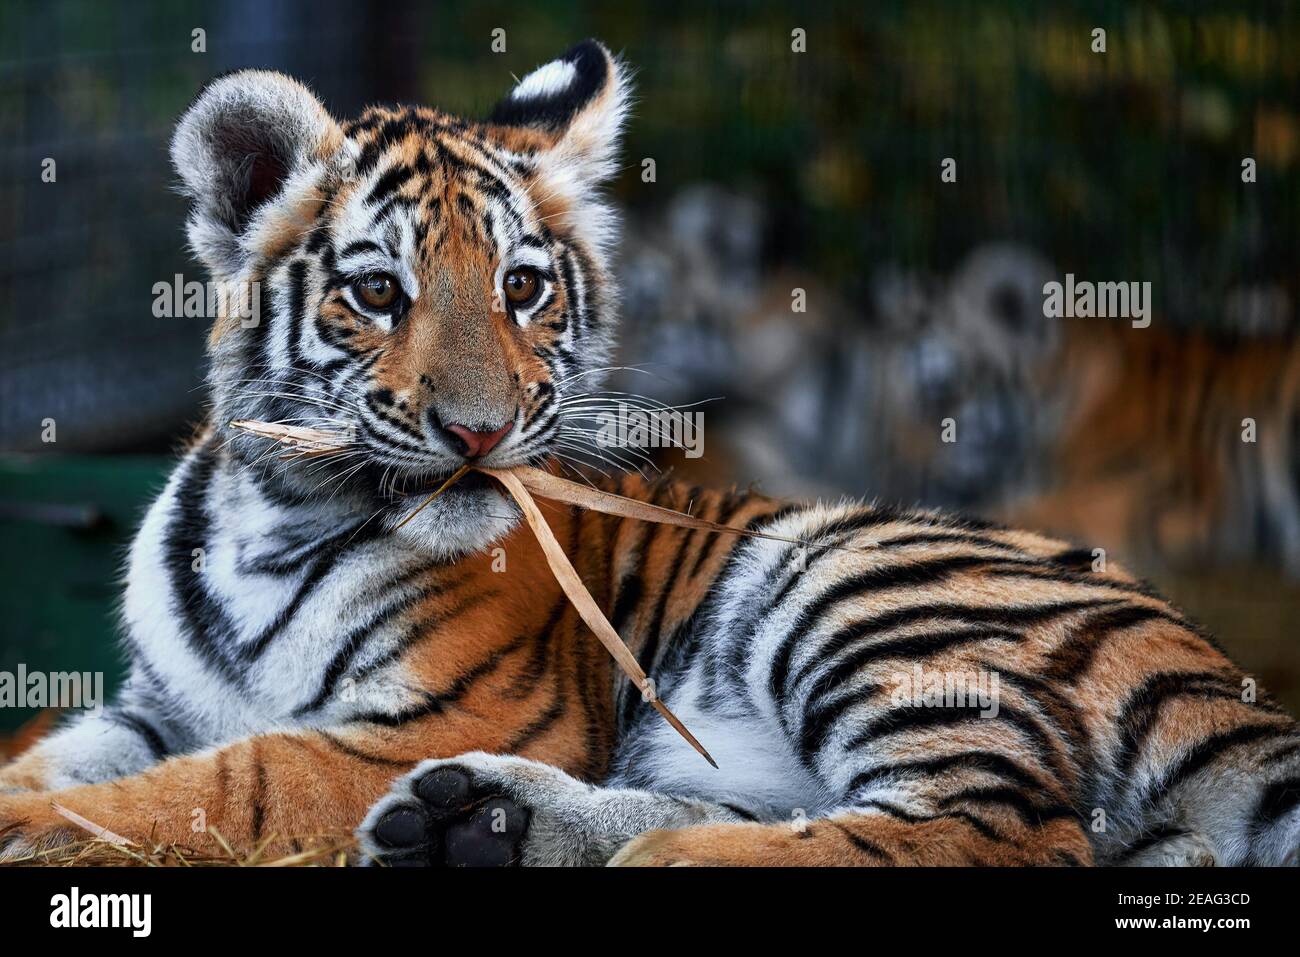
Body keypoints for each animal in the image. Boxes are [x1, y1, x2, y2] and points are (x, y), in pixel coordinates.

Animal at [2, 40, 1298, 868]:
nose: (480, 429)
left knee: (1005, 827)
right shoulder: (154, 706)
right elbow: (65, 751)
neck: (274, 521)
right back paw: (479, 827)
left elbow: (232, 777)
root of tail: (1214, 667)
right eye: (376, 295)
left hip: (859, 593)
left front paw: (29, 831)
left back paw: (655, 856)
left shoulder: (436, 716)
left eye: (523, 289)